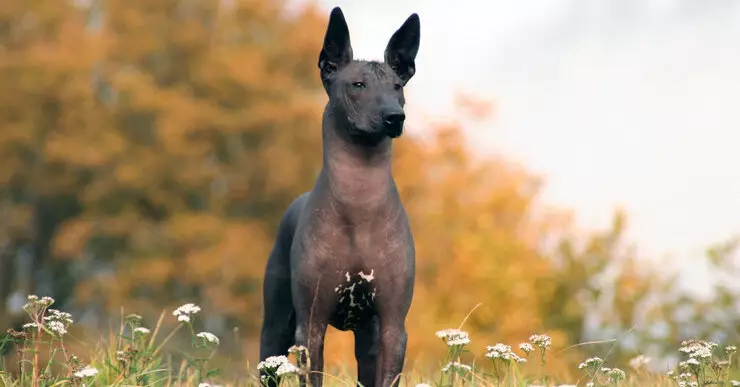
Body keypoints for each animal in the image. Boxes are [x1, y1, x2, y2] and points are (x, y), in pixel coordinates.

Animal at [260, 6, 422, 387]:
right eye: (358, 85)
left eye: (397, 86)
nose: (395, 116)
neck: (358, 202)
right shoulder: (311, 326)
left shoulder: (392, 326)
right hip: (274, 332)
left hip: (368, 339)